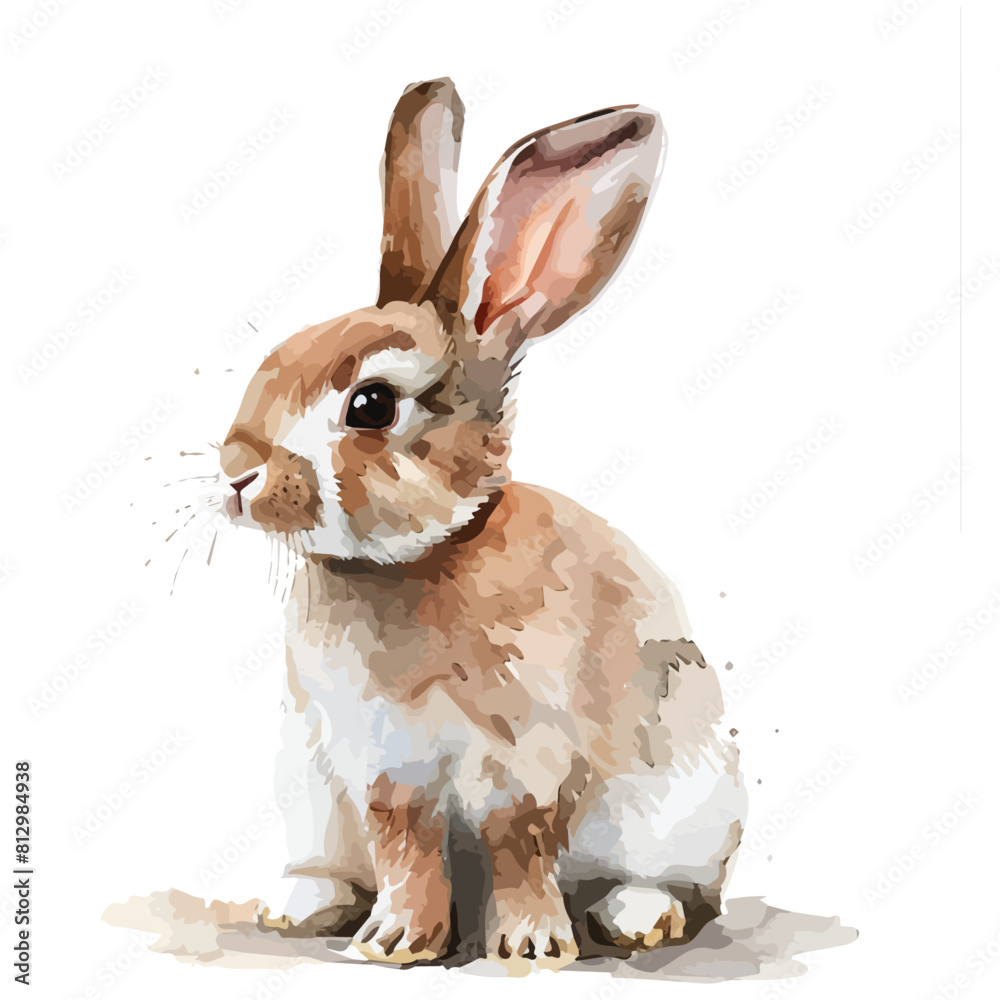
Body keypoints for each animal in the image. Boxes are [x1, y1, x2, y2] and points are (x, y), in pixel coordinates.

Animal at [217, 77, 747, 965]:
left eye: (371, 404)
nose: (233, 475)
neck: (420, 555)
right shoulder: (382, 764)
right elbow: (404, 846)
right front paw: (396, 941)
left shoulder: (527, 760)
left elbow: (517, 843)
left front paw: (529, 948)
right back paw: (296, 905)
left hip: (688, 796)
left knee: (677, 885)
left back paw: (637, 916)